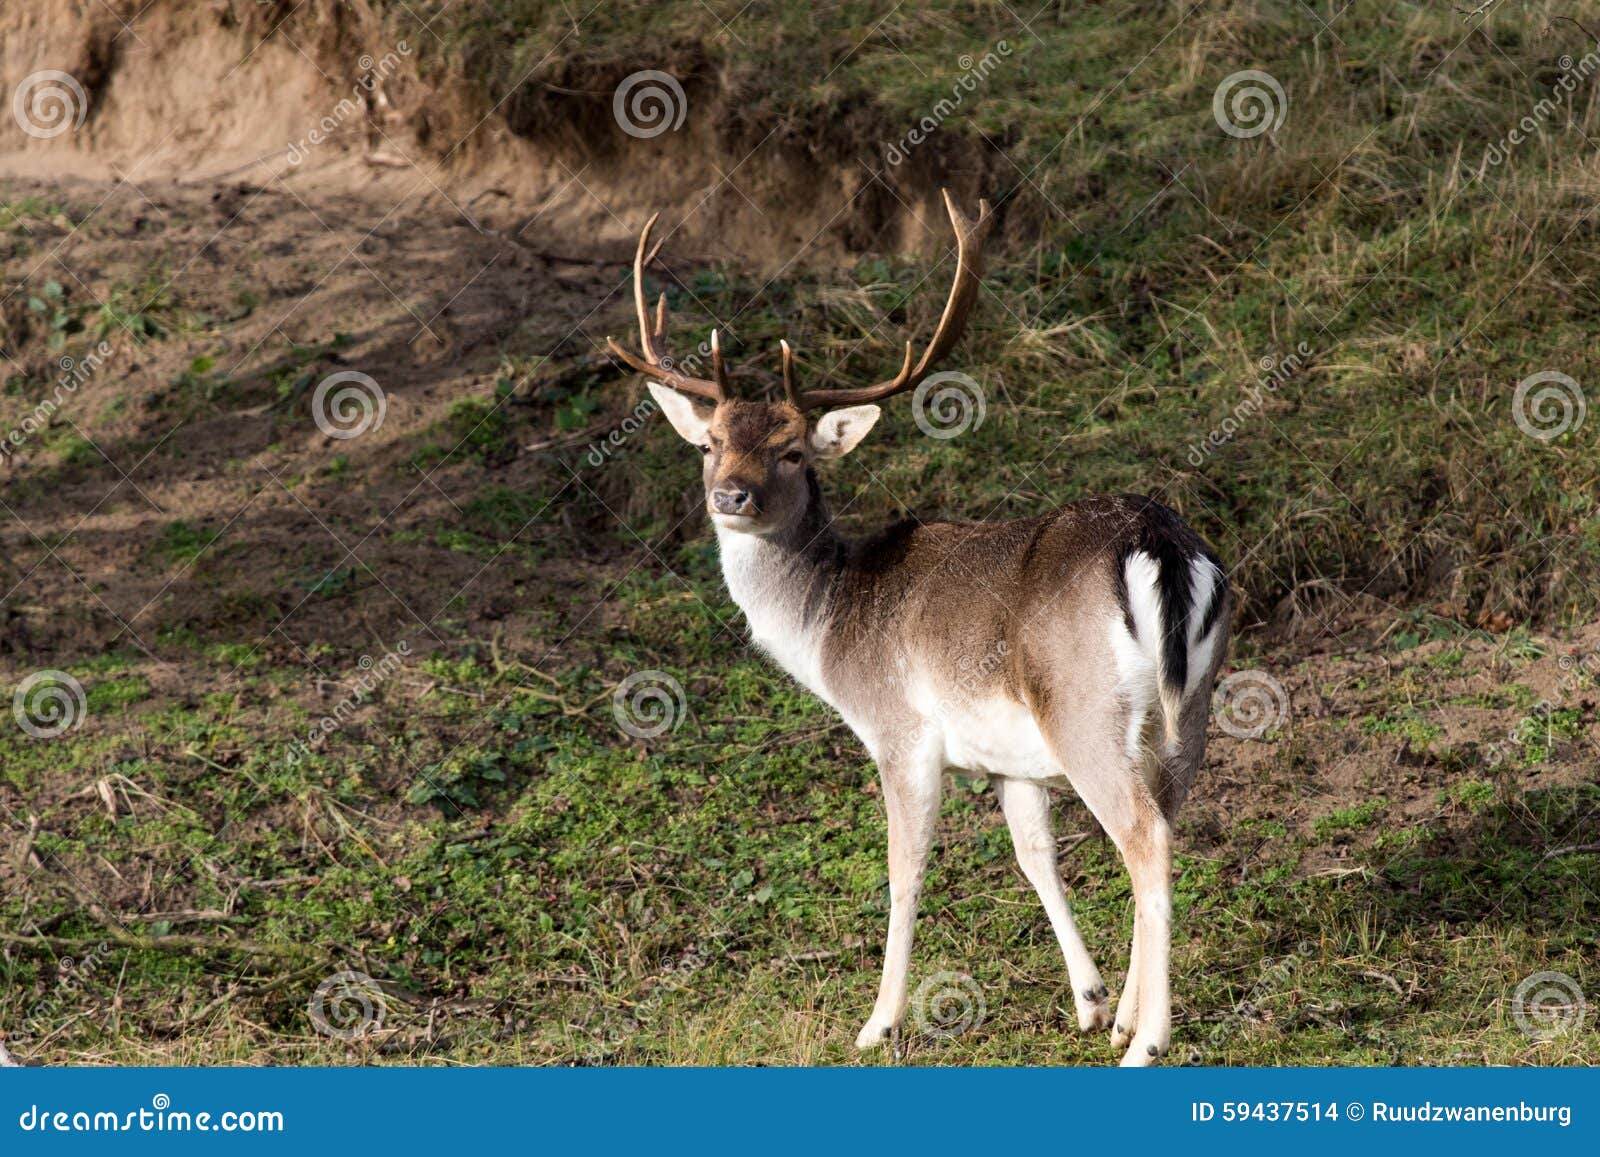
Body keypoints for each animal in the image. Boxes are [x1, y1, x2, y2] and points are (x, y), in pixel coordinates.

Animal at [607, 191, 1231, 1066]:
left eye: (794, 451)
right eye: (708, 442)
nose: (730, 495)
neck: (830, 628)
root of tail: (1164, 546)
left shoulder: (898, 731)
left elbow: (904, 873)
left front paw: (878, 1021)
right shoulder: (1009, 761)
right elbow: (1035, 858)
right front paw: (1090, 1000)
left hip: (1085, 712)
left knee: (1145, 838)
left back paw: (1149, 1043)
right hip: (1191, 703)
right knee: (1162, 826)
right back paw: (1129, 1023)